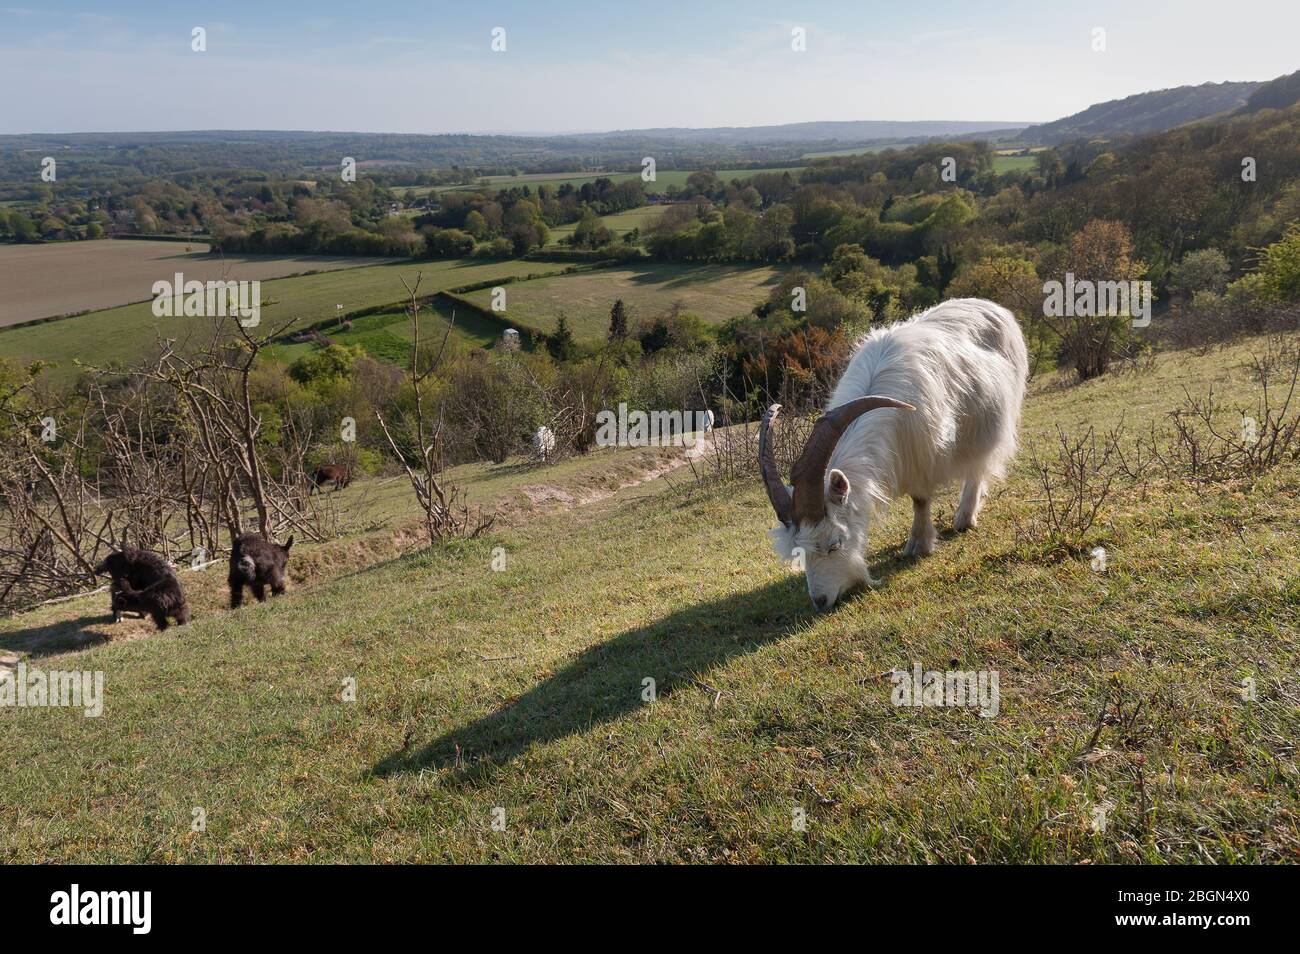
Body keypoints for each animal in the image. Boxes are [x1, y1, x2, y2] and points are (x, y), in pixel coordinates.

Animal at [760, 299, 1028, 610]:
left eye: (835, 544)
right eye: (797, 551)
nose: (820, 600)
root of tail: (991, 305)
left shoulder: (924, 454)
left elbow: (920, 500)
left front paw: (919, 545)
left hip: (992, 421)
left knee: (977, 467)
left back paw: (964, 517)